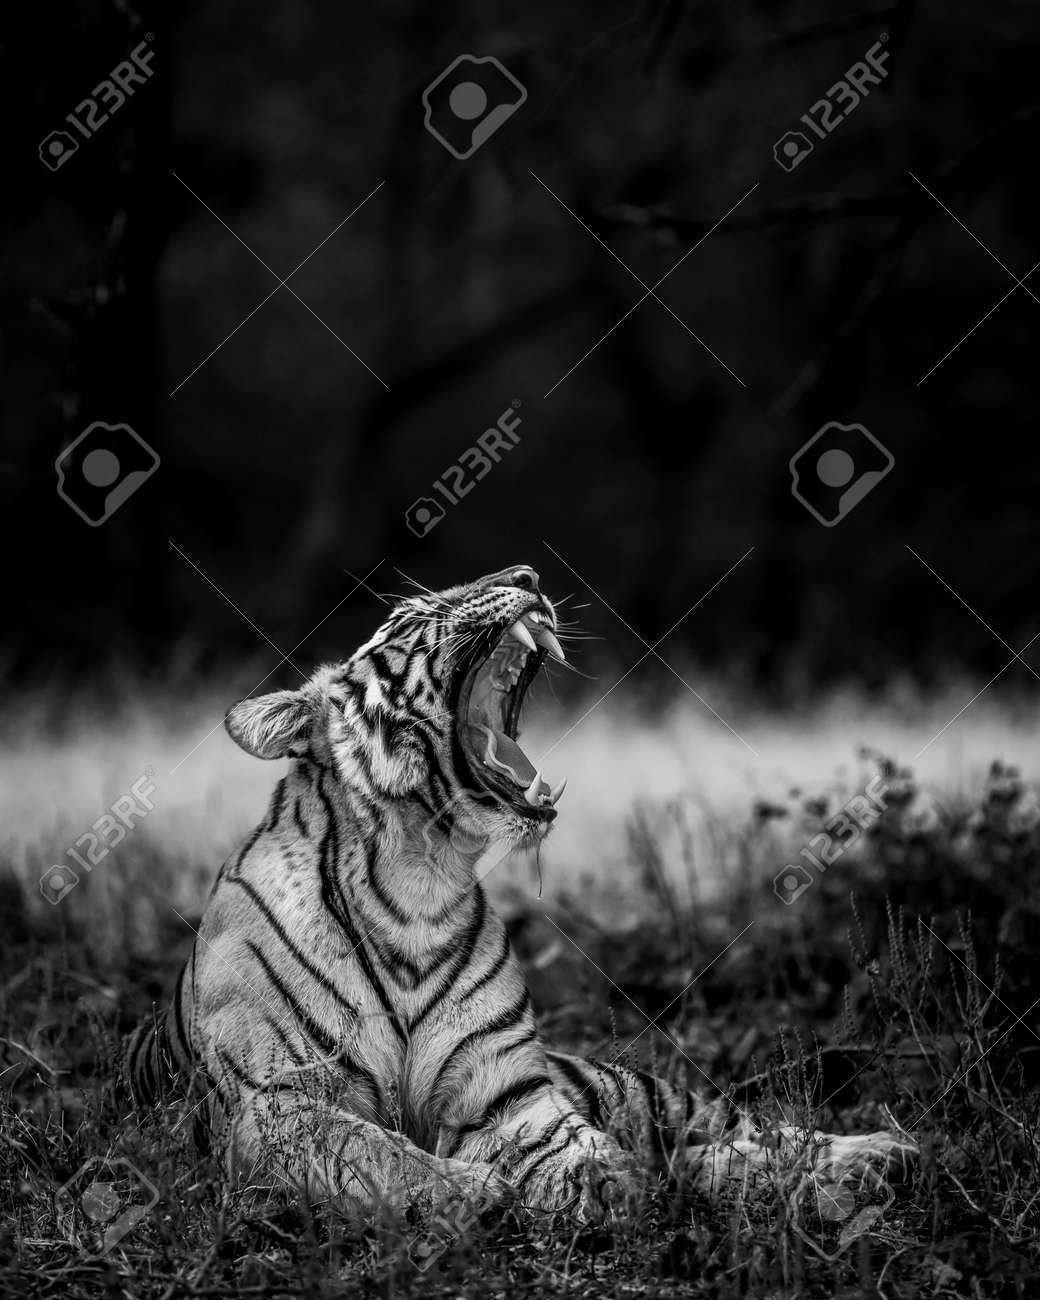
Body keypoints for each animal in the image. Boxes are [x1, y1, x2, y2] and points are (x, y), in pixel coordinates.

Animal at [124, 564, 916, 1224]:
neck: (416, 880)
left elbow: (560, 1140)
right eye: (412, 614)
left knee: (750, 1127)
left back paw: (876, 1155)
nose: (528, 574)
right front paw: (476, 1190)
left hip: (633, 1086)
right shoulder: (279, 1103)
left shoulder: (506, 1089)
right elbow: (375, 1153)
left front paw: (605, 1180)